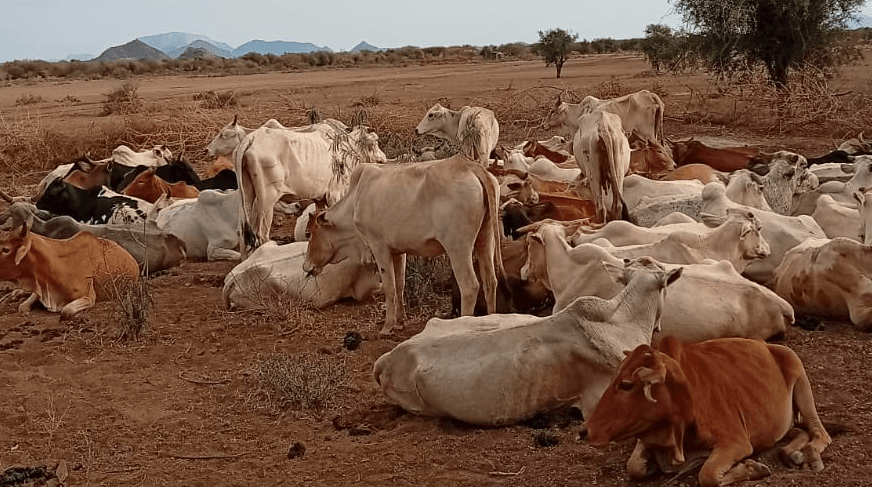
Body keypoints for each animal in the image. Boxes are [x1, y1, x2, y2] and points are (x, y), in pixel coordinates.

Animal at [235, 123, 387, 254]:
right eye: (375, 141)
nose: (383, 159)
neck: (346, 148)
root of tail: (252, 137)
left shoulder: (319, 198)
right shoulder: (334, 194)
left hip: (247, 196)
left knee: (243, 234)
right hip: (267, 199)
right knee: (261, 235)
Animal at [303, 155, 503, 338]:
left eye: (309, 234)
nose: (306, 266)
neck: (355, 202)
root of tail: (470, 166)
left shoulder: (379, 247)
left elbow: (389, 287)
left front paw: (387, 326)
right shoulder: (398, 251)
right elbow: (400, 285)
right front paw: (400, 322)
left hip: (458, 247)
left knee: (470, 286)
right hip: (485, 239)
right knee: (490, 281)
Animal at [584, 337, 831, 487]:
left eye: (626, 384)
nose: (584, 431)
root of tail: (765, 344)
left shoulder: (736, 441)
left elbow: (708, 475)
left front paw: (753, 468)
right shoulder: (647, 436)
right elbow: (634, 467)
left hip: (799, 374)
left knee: (821, 434)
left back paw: (810, 456)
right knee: (797, 432)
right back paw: (792, 453)